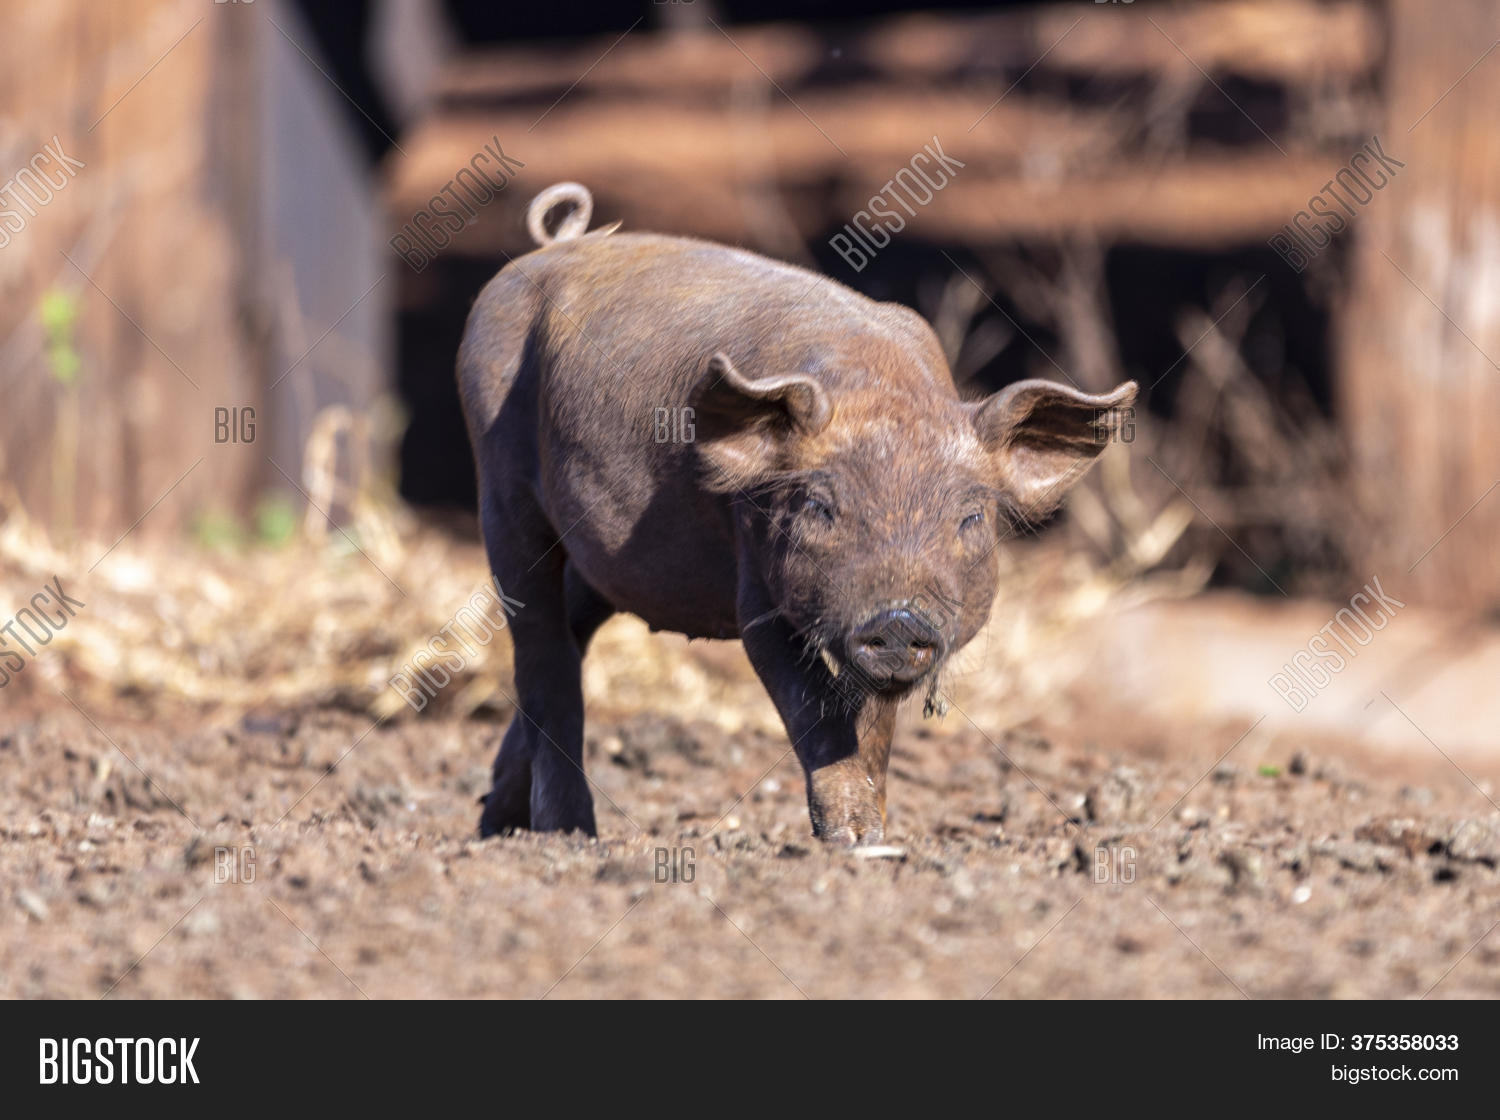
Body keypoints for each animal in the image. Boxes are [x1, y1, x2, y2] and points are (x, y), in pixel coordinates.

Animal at [457, 181, 1136, 846]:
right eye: (818, 506)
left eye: (970, 519)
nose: (898, 617)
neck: (880, 391)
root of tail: (556, 245)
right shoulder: (756, 573)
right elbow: (808, 701)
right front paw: (852, 839)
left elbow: (875, 725)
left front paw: (878, 839)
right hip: (497, 476)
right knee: (540, 649)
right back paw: (566, 836)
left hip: (599, 555)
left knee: (570, 629)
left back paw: (497, 823)